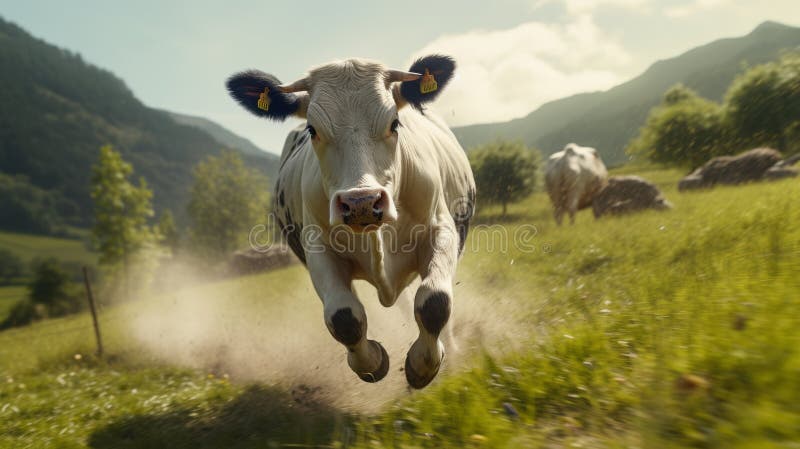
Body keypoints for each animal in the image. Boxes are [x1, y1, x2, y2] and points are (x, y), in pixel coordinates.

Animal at [226, 55, 475, 389]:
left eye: (394, 123)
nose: (362, 203)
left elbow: (435, 301)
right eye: (312, 129)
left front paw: (423, 366)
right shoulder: (318, 249)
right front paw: (373, 362)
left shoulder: (441, 228)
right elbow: (344, 317)